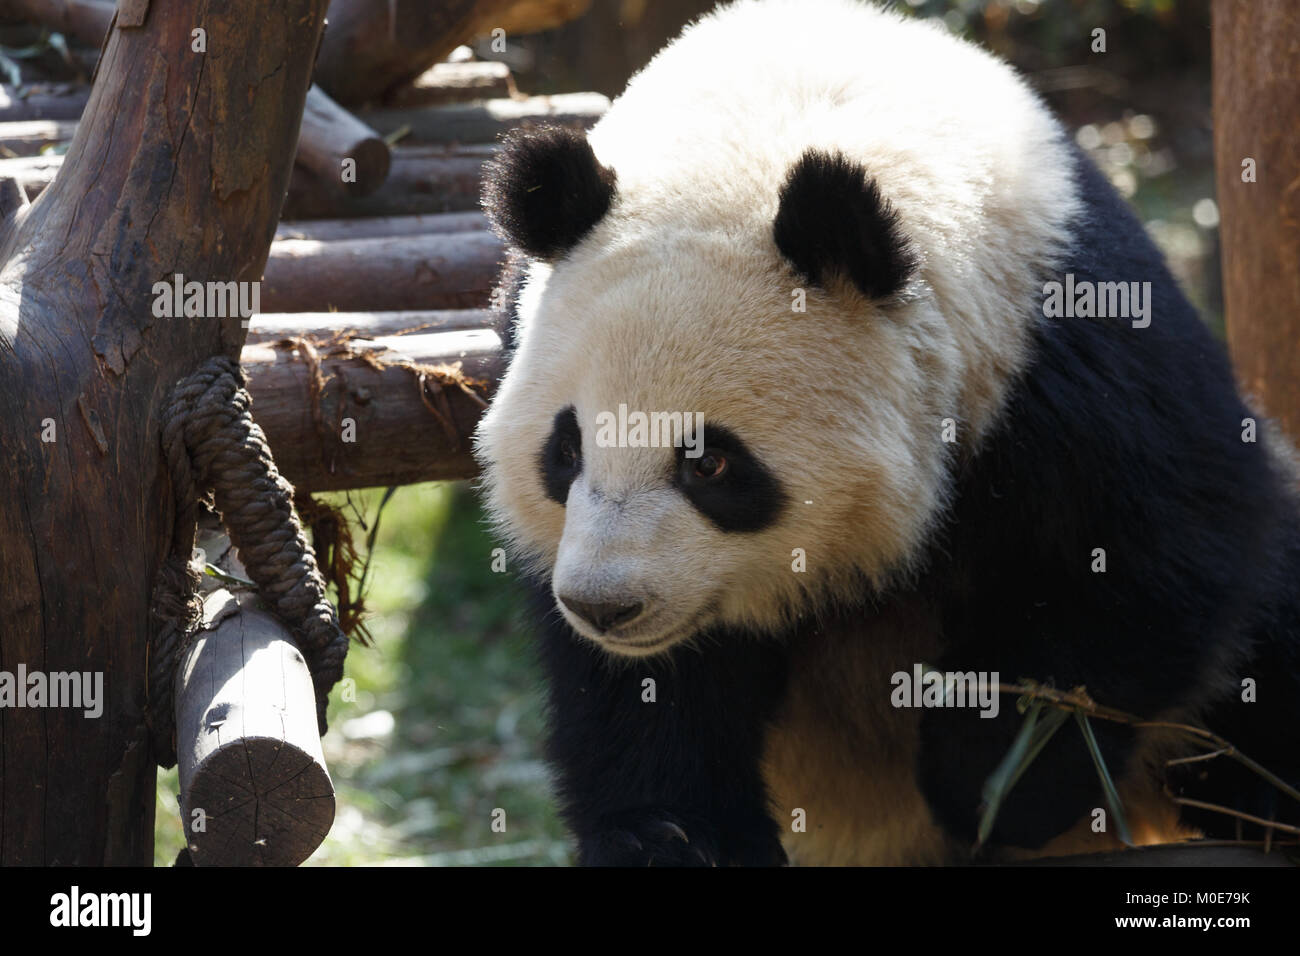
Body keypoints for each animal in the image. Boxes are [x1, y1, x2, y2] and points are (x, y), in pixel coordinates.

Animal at [473, 0, 1300, 865]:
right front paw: (667, 836)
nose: (606, 606)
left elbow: (1151, 560)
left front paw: (995, 783)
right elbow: (641, 694)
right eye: (567, 451)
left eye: (710, 464)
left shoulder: (1068, 349)